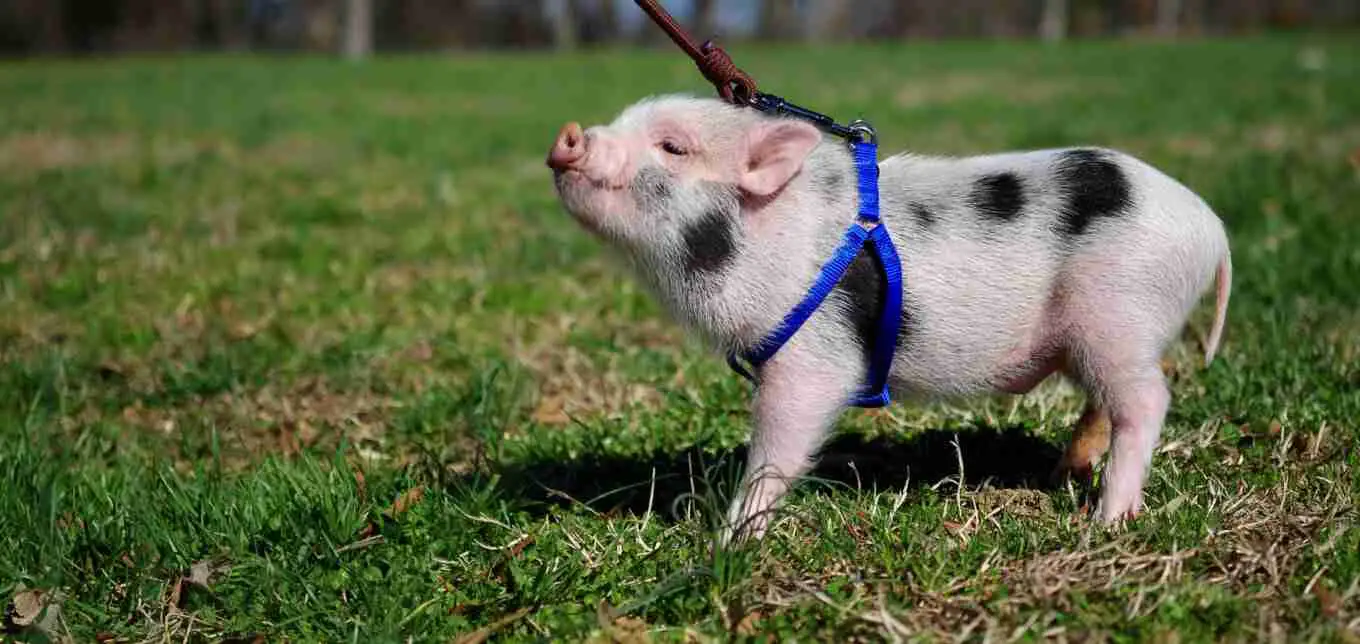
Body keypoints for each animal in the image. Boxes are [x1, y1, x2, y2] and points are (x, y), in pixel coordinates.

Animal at [546, 94, 1231, 542]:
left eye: (672, 146)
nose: (569, 135)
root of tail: (1209, 224)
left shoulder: (814, 355)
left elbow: (781, 441)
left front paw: (728, 543)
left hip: (1120, 314)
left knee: (1146, 400)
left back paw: (1107, 520)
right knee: (1103, 405)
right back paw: (1063, 475)